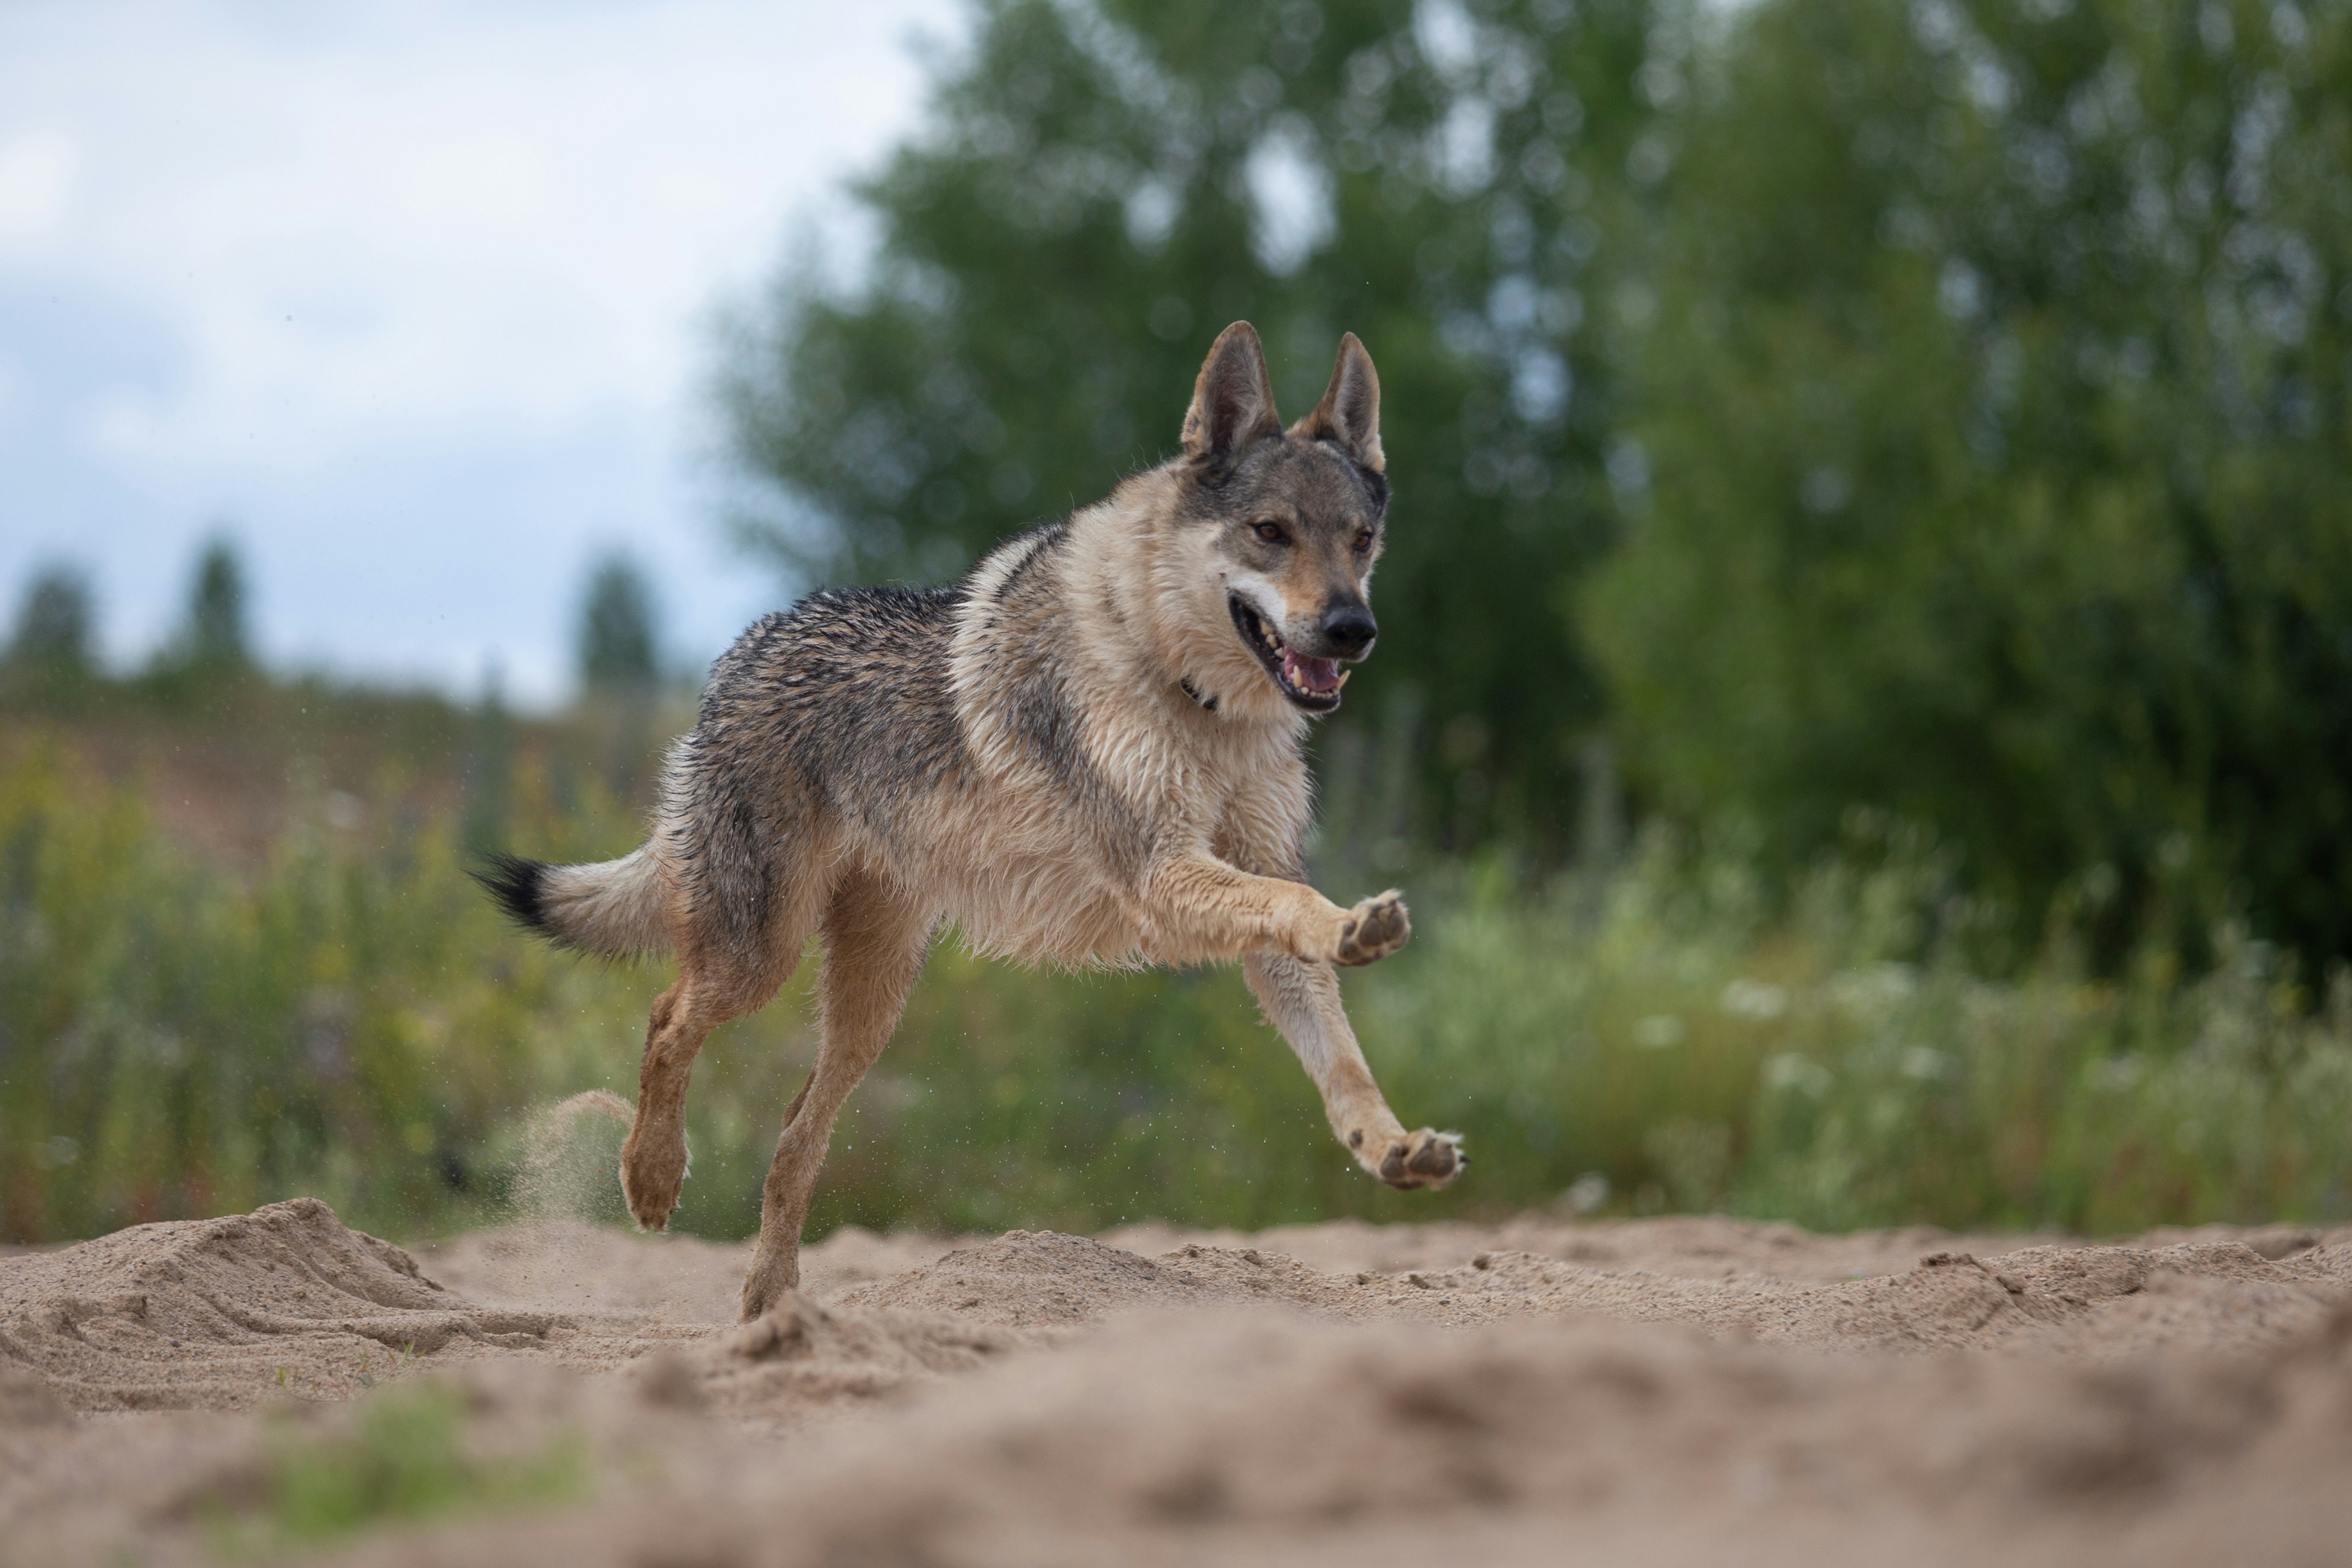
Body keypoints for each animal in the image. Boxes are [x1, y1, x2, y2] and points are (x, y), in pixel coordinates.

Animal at [480, 322, 1463, 1321]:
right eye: (1270, 533)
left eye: (1359, 541)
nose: (1351, 629)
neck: (1196, 703)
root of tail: (739, 654)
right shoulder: (1159, 874)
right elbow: (1301, 910)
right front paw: (1357, 926)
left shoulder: (1251, 890)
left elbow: (1338, 1054)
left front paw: (1390, 1145)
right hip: (760, 958)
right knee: (665, 1017)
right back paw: (651, 1179)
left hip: (869, 1005)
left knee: (794, 1133)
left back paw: (775, 1309)